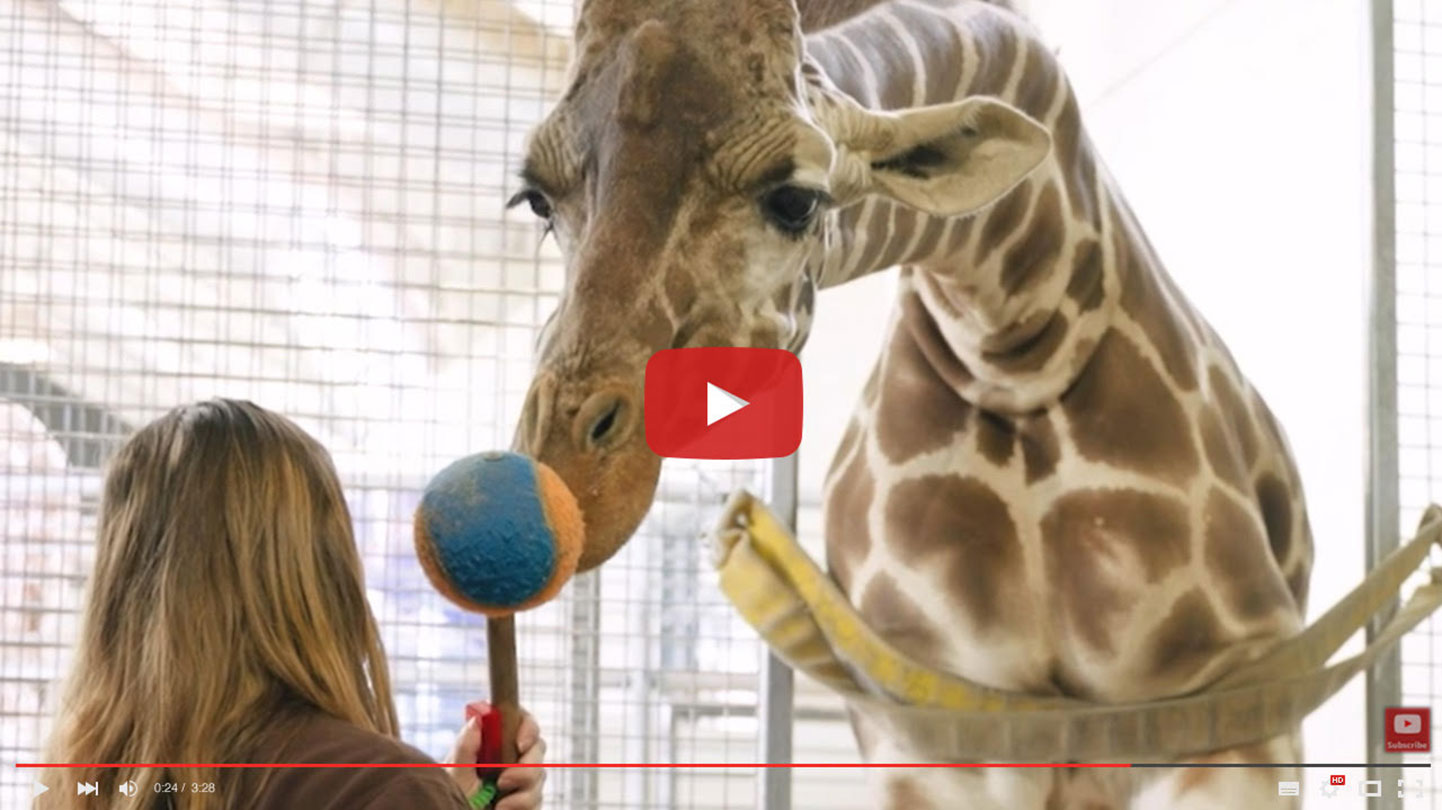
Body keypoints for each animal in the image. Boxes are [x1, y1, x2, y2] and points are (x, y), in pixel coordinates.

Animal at [510, 0, 1315, 807]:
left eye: (795, 198)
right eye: (536, 199)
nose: (570, 486)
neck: (1019, 344)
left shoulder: (1225, 702)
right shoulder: (931, 727)